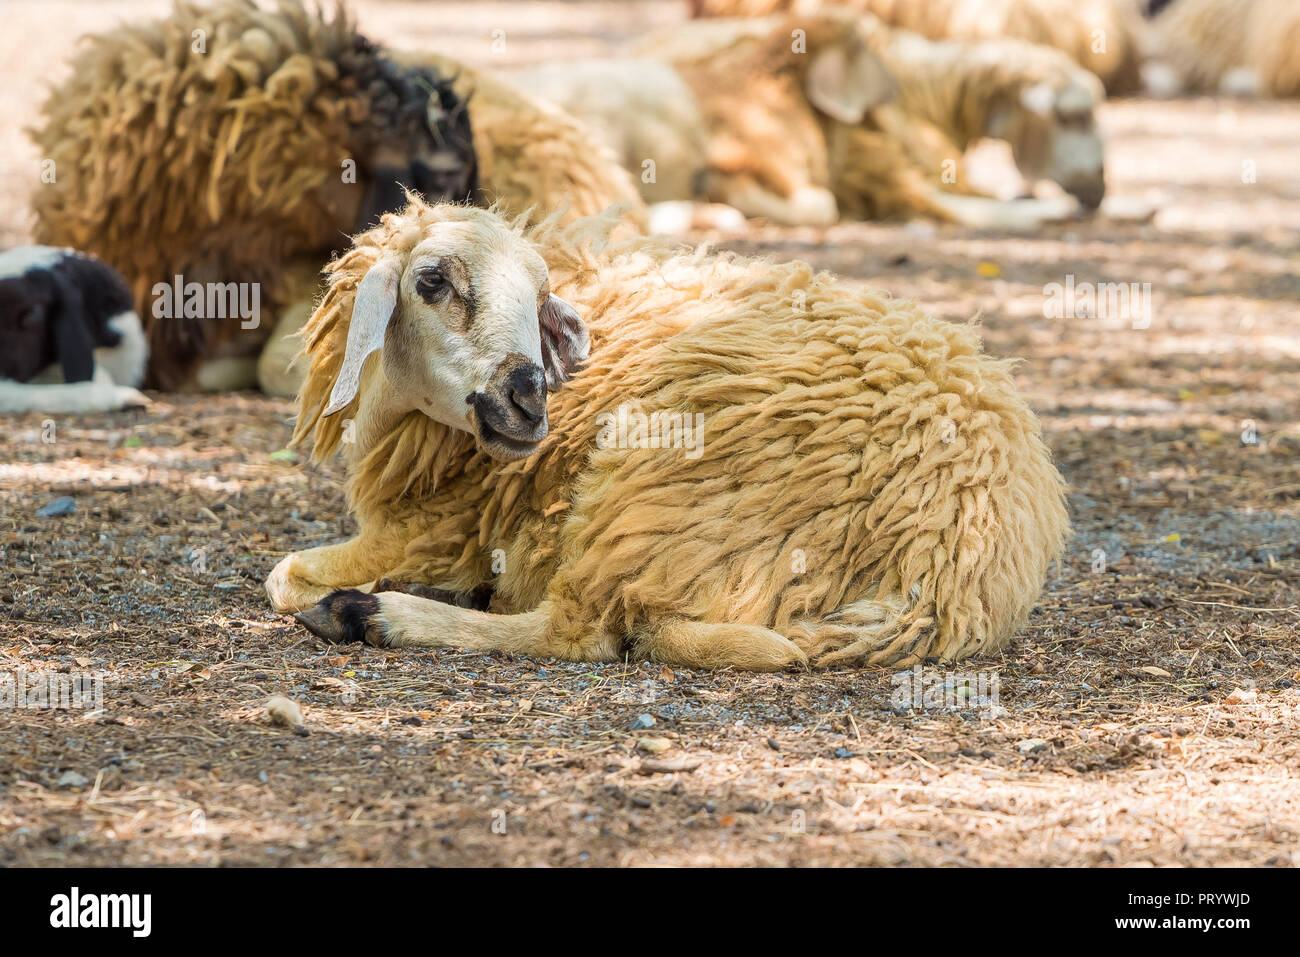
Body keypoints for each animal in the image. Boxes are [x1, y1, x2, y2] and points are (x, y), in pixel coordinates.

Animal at [268, 196, 1069, 671]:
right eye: (431, 280)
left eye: (540, 295)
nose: (528, 398)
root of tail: (951, 564)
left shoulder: (429, 528)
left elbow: (285, 576)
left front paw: (350, 593)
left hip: (651, 489)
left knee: (577, 630)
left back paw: (372, 615)